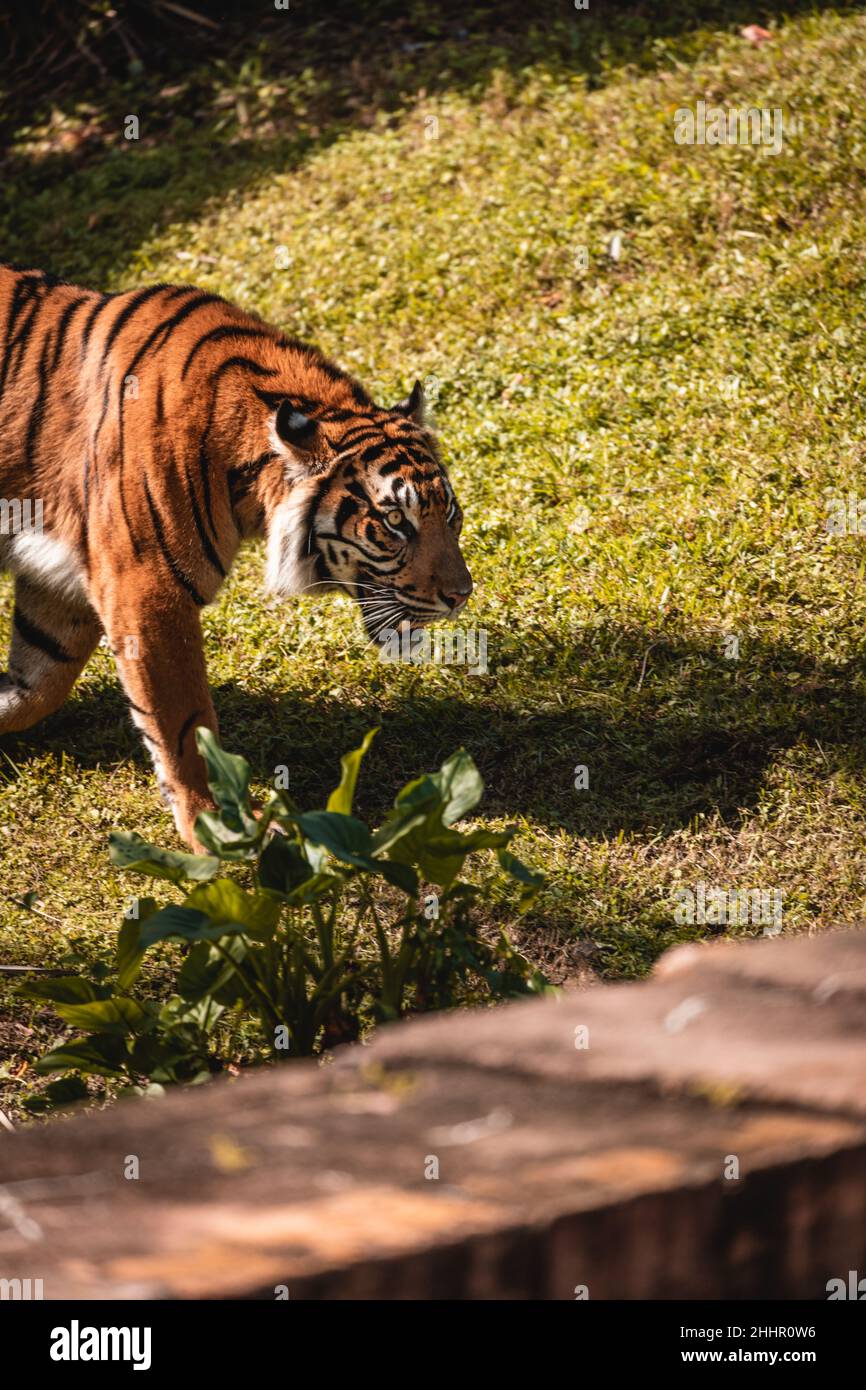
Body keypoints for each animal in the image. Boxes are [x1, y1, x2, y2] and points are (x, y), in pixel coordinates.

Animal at [0, 263, 472, 848]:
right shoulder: (144, 587)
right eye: (395, 523)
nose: (462, 595)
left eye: (449, 515)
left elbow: (40, 681)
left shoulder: (62, 576)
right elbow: (182, 723)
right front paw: (216, 824)